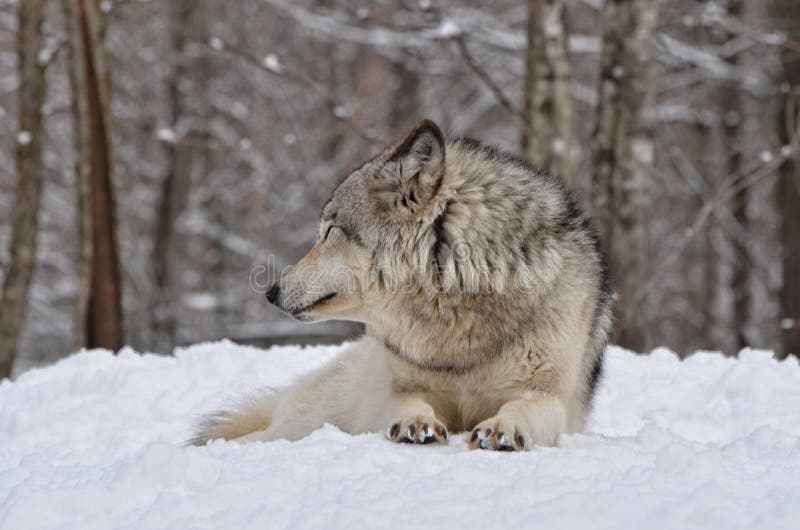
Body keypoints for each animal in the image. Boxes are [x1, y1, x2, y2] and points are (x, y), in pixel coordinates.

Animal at [190, 119, 615, 451]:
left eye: (330, 232)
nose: (271, 292)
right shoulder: (406, 389)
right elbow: (410, 405)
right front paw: (416, 424)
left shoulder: (549, 395)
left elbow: (523, 406)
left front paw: (503, 427)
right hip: (315, 416)